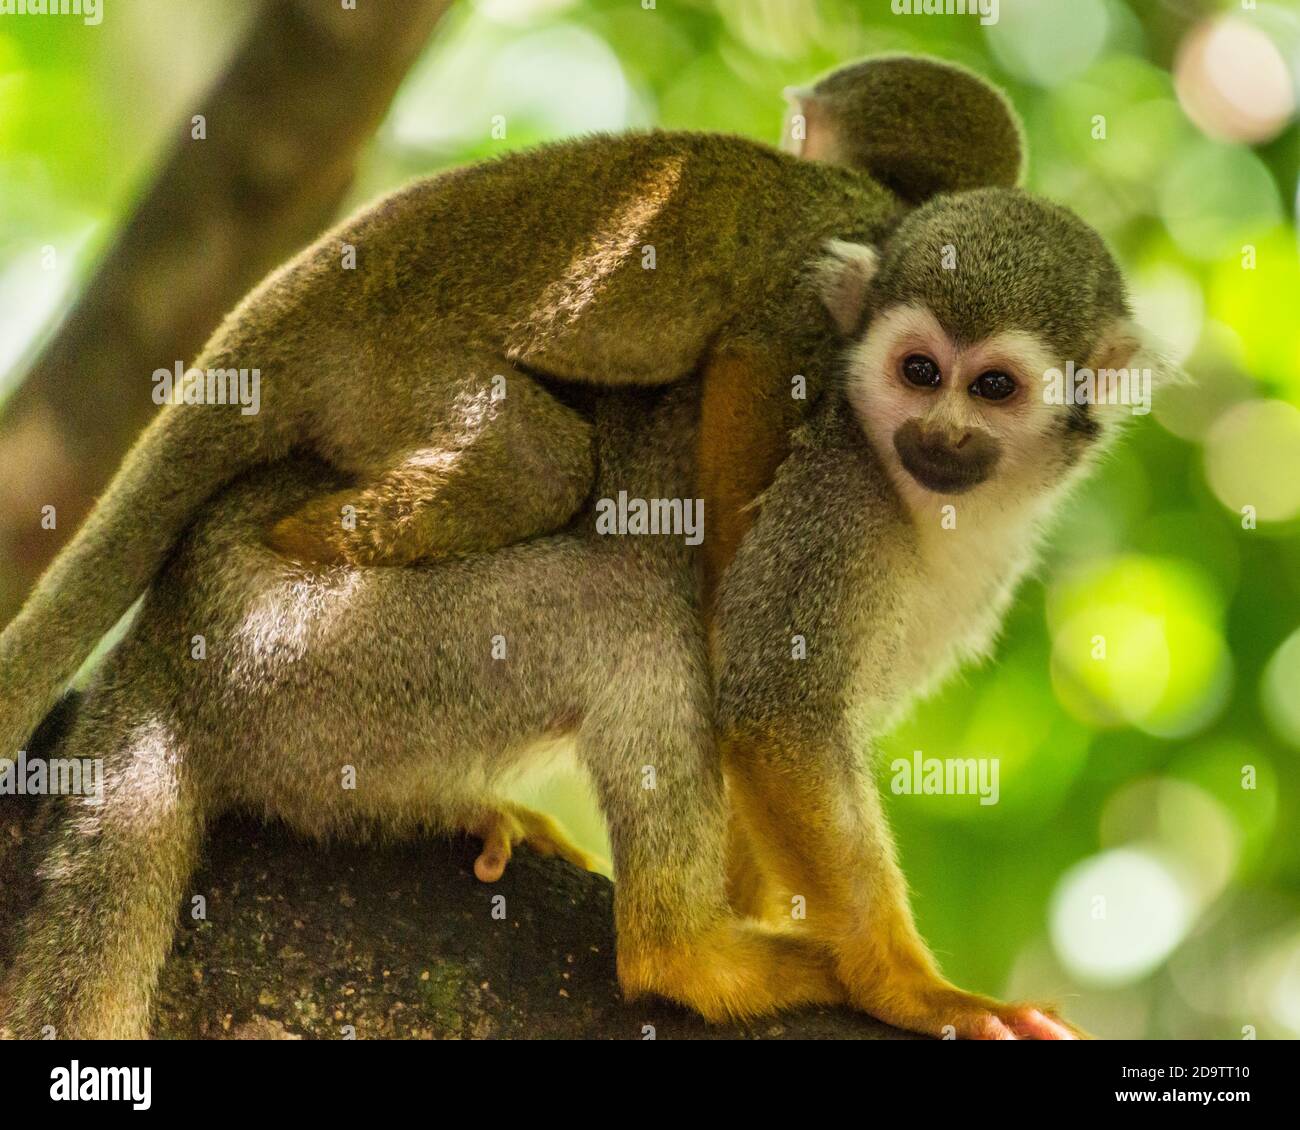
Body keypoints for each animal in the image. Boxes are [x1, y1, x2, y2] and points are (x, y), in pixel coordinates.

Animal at [0, 54, 1026, 772]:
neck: (883, 206)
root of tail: (283, 308)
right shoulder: (818, 294)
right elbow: (751, 355)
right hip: (386, 368)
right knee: (543, 466)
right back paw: (311, 533)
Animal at [0, 186, 1177, 1039]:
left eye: (993, 390)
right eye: (919, 371)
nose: (939, 437)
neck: (931, 510)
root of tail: (165, 636)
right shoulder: (832, 497)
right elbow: (769, 704)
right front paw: (916, 991)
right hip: (302, 652)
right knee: (632, 621)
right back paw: (686, 955)